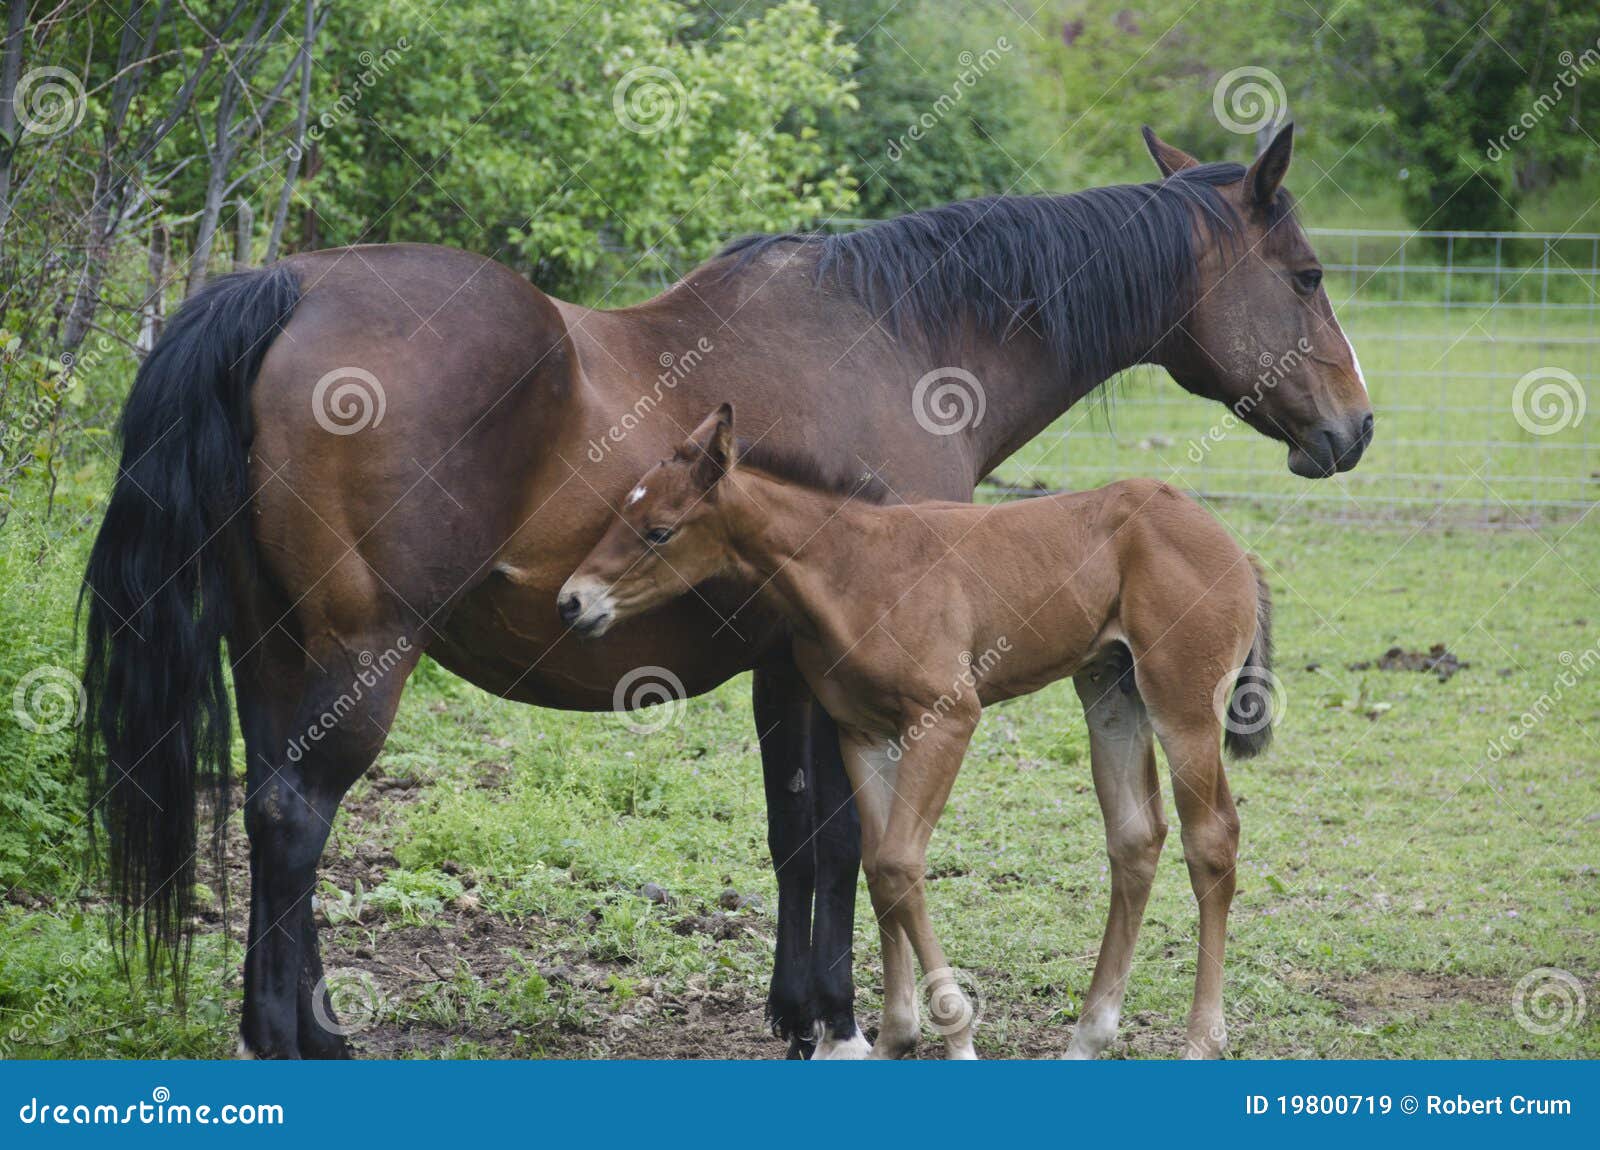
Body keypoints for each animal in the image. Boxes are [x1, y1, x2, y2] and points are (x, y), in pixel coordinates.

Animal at [561, 403, 1275, 1059]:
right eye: (617, 514)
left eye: (658, 531)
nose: (572, 601)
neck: (854, 567)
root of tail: (1233, 546)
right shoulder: (864, 733)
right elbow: (880, 867)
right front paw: (896, 1036)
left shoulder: (948, 715)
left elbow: (901, 862)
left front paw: (955, 1034)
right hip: (1110, 691)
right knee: (1135, 838)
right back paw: (1087, 1038)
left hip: (1182, 704)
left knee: (1211, 839)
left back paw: (1201, 1041)